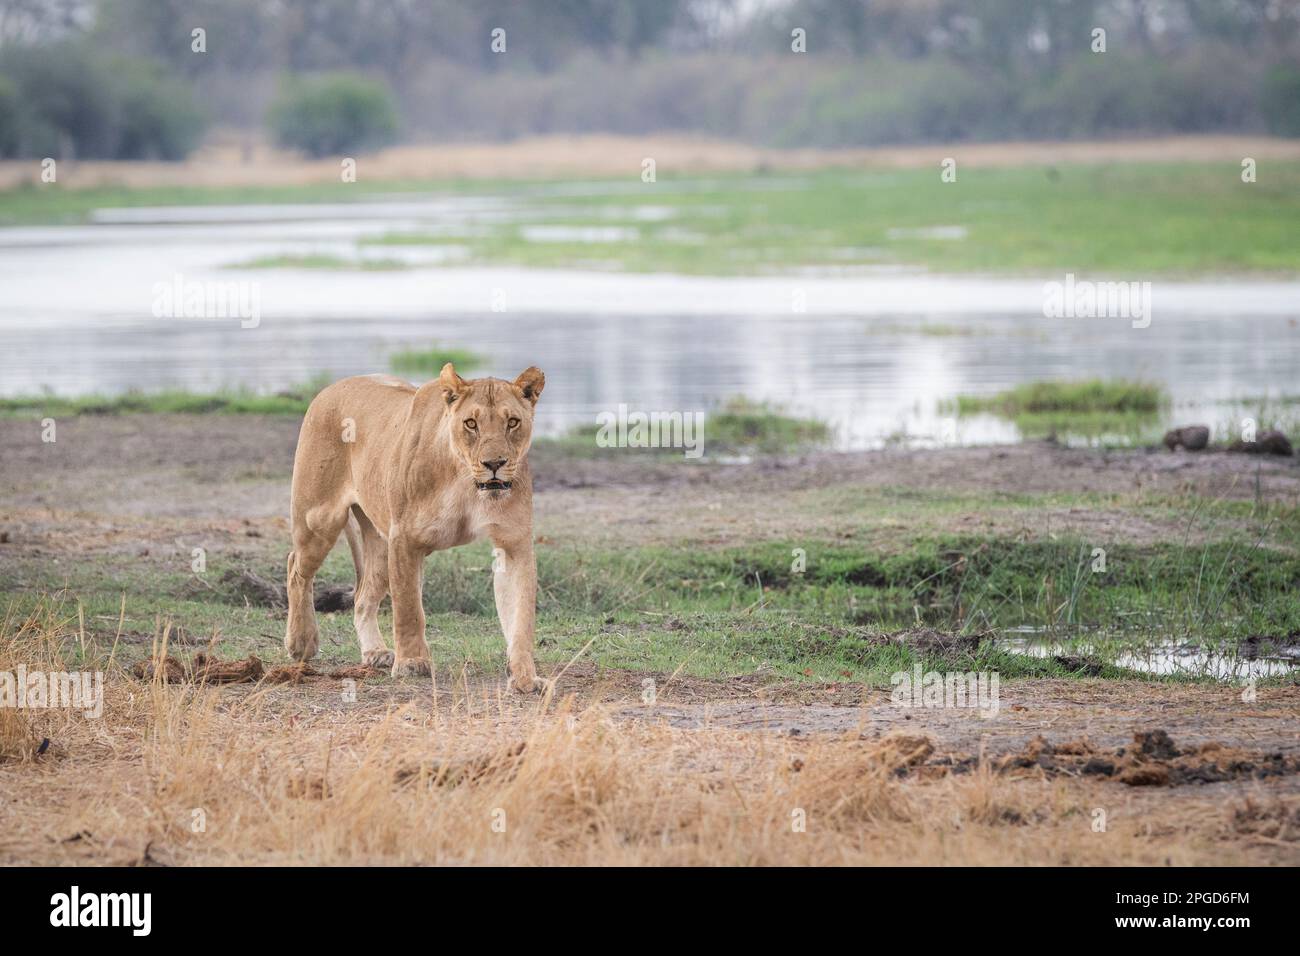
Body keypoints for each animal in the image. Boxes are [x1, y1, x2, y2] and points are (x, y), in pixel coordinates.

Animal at [284, 363, 547, 692]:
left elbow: (521, 618)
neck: (466, 482)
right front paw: (412, 663)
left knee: (362, 596)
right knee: (296, 568)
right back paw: (301, 642)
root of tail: (330, 388)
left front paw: (525, 677)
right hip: (319, 520)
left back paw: (375, 652)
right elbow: (409, 609)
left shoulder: (513, 543)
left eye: (512, 422)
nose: (494, 464)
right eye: (471, 423)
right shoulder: (405, 538)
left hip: (380, 543)